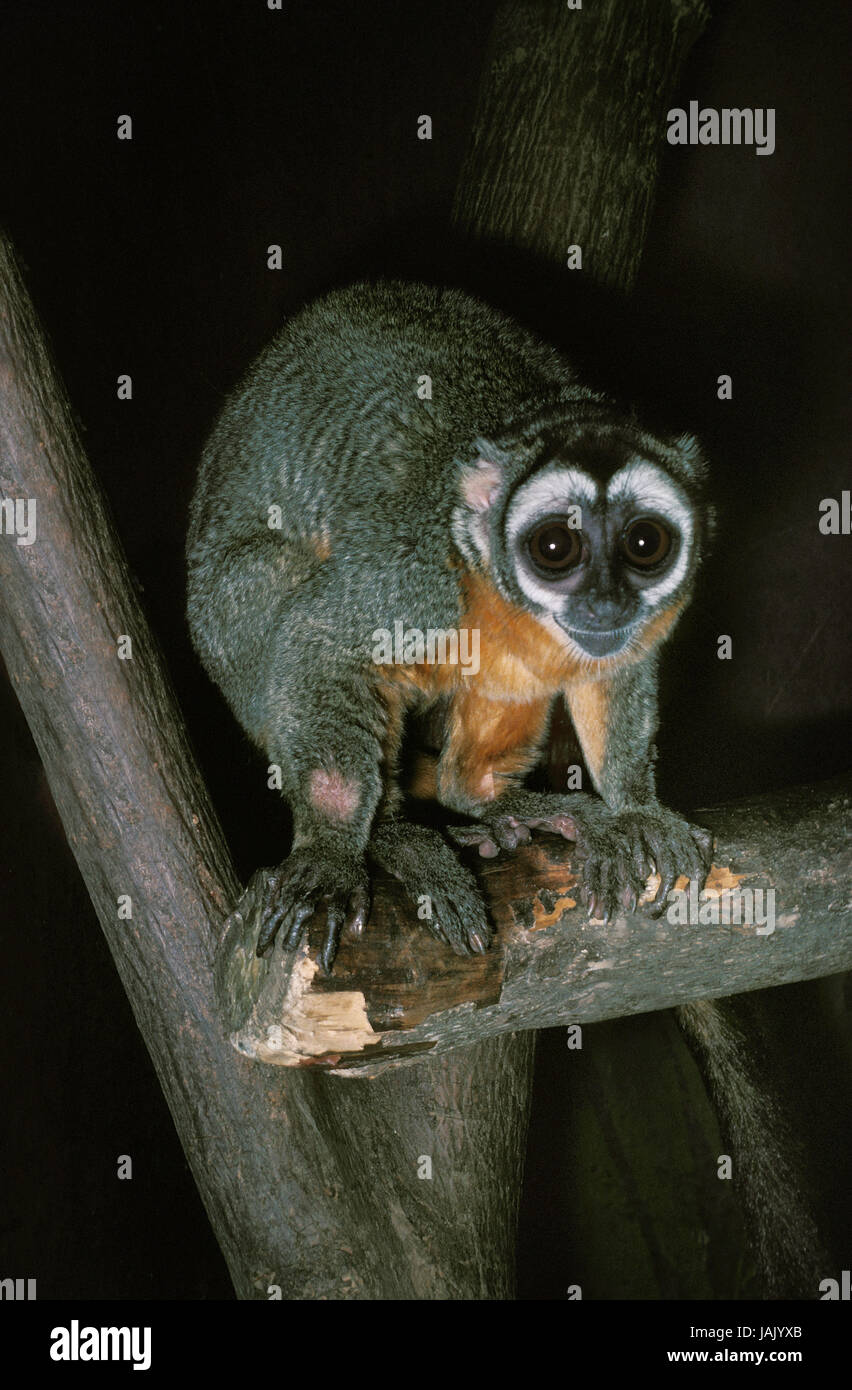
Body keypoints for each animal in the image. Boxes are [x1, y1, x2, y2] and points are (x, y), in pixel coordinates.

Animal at [186, 279, 714, 974]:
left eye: (645, 543)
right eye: (555, 548)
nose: (606, 605)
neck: (489, 582)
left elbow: (615, 670)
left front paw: (635, 809)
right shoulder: (415, 575)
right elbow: (318, 639)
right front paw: (332, 857)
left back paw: (490, 801)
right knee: (274, 574)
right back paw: (394, 836)